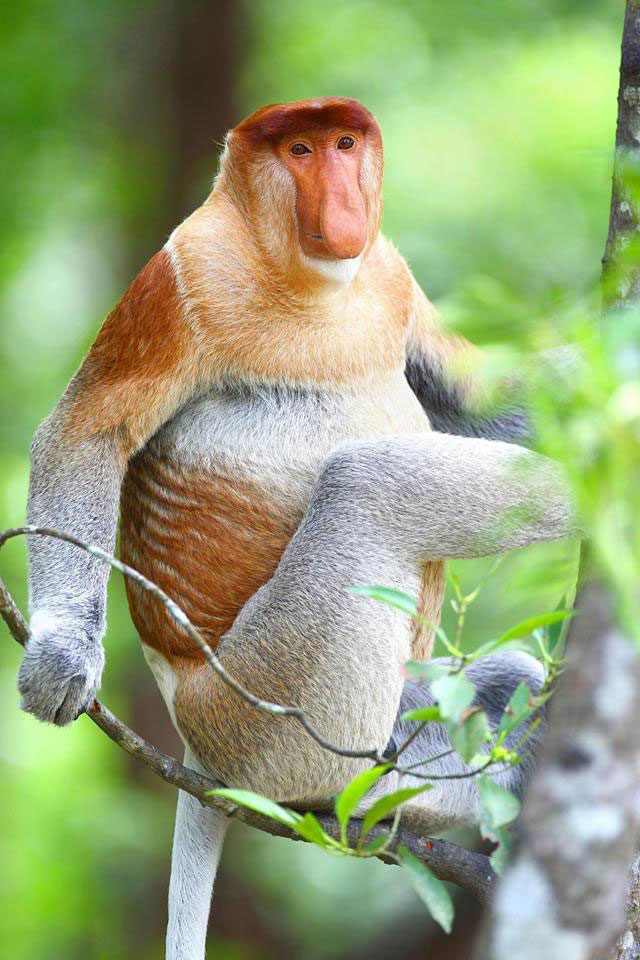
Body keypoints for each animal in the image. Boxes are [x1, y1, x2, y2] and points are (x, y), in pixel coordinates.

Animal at [17, 98, 576, 959]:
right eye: (300, 150)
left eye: (346, 144)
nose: (342, 203)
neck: (313, 284)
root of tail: (196, 743)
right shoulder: (184, 277)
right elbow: (86, 432)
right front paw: (59, 662)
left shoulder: (391, 273)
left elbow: (470, 399)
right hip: (271, 715)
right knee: (365, 486)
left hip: (389, 709)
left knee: (496, 683)